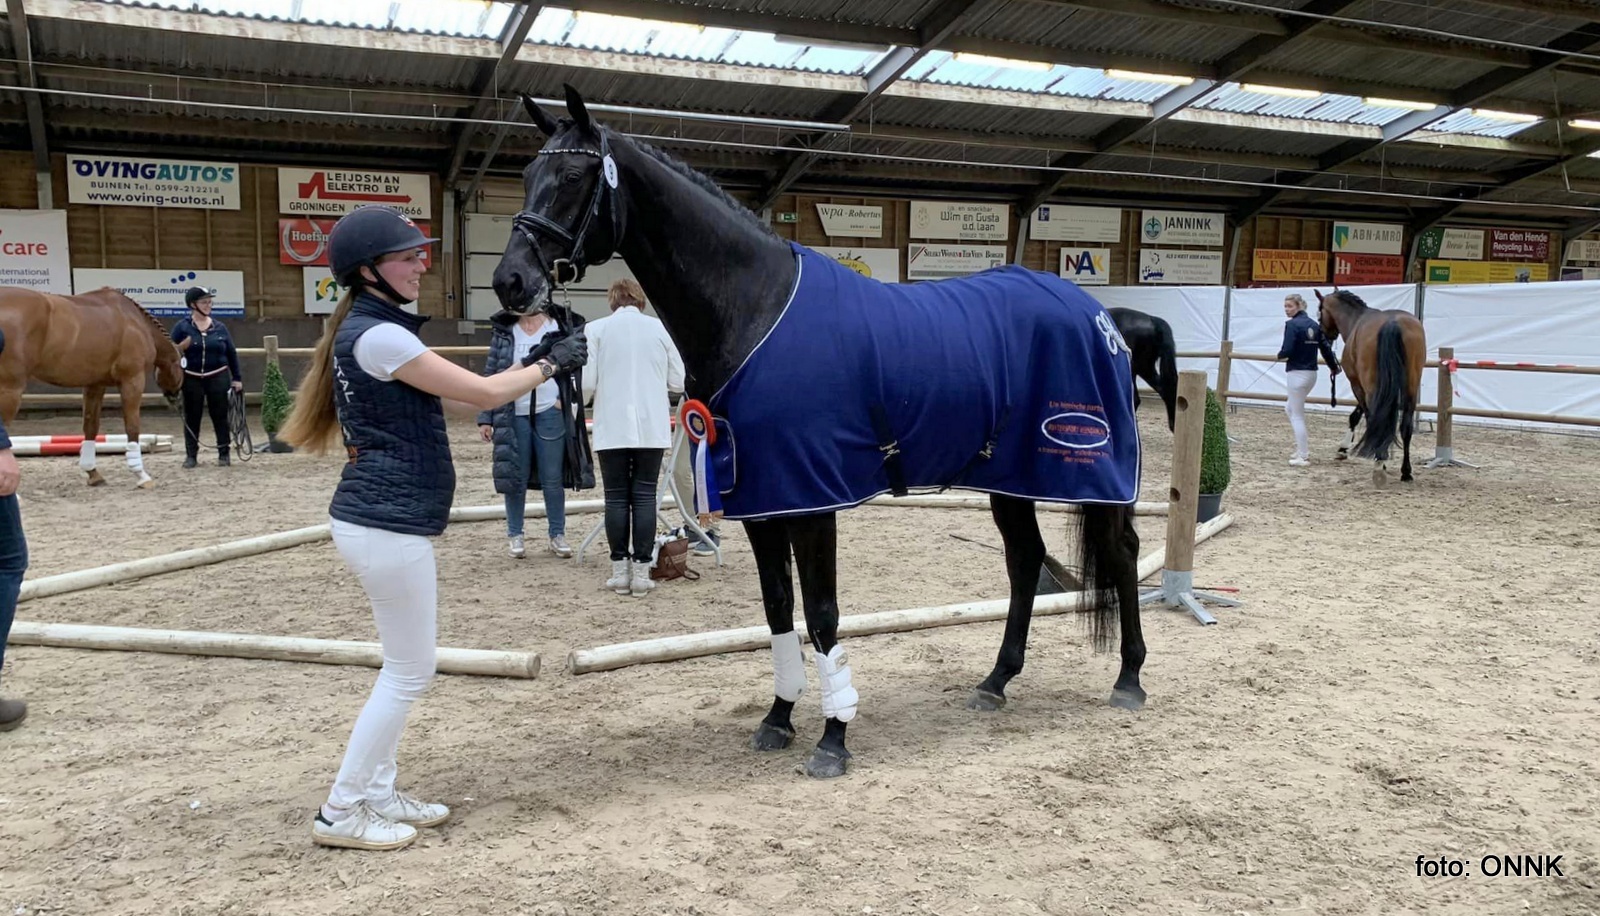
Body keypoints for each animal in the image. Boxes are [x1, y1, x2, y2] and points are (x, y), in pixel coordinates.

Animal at [0, 286, 184, 488]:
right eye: (182, 366)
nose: (176, 398)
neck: (134, 321)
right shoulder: (132, 379)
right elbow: (132, 426)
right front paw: (141, 475)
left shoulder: (95, 384)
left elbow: (90, 426)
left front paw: (93, 473)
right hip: (10, 390)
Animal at [493, 86, 1146, 779]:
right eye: (527, 176)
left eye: (572, 177)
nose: (511, 281)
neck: (754, 307)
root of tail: (1099, 316)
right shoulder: (762, 501)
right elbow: (779, 608)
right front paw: (779, 718)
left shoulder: (811, 499)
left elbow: (824, 612)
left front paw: (834, 738)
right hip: (1009, 477)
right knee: (1025, 561)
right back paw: (996, 682)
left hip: (1092, 473)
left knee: (1122, 551)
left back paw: (1129, 678)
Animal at [1313, 288, 1426, 484]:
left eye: (1320, 311)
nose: (1325, 336)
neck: (1356, 319)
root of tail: (1392, 323)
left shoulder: (1357, 385)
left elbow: (1359, 416)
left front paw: (1344, 449)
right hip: (1411, 386)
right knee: (1406, 426)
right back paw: (1406, 471)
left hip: (1373, 386)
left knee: (1376, 419)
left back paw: (1379, 462)